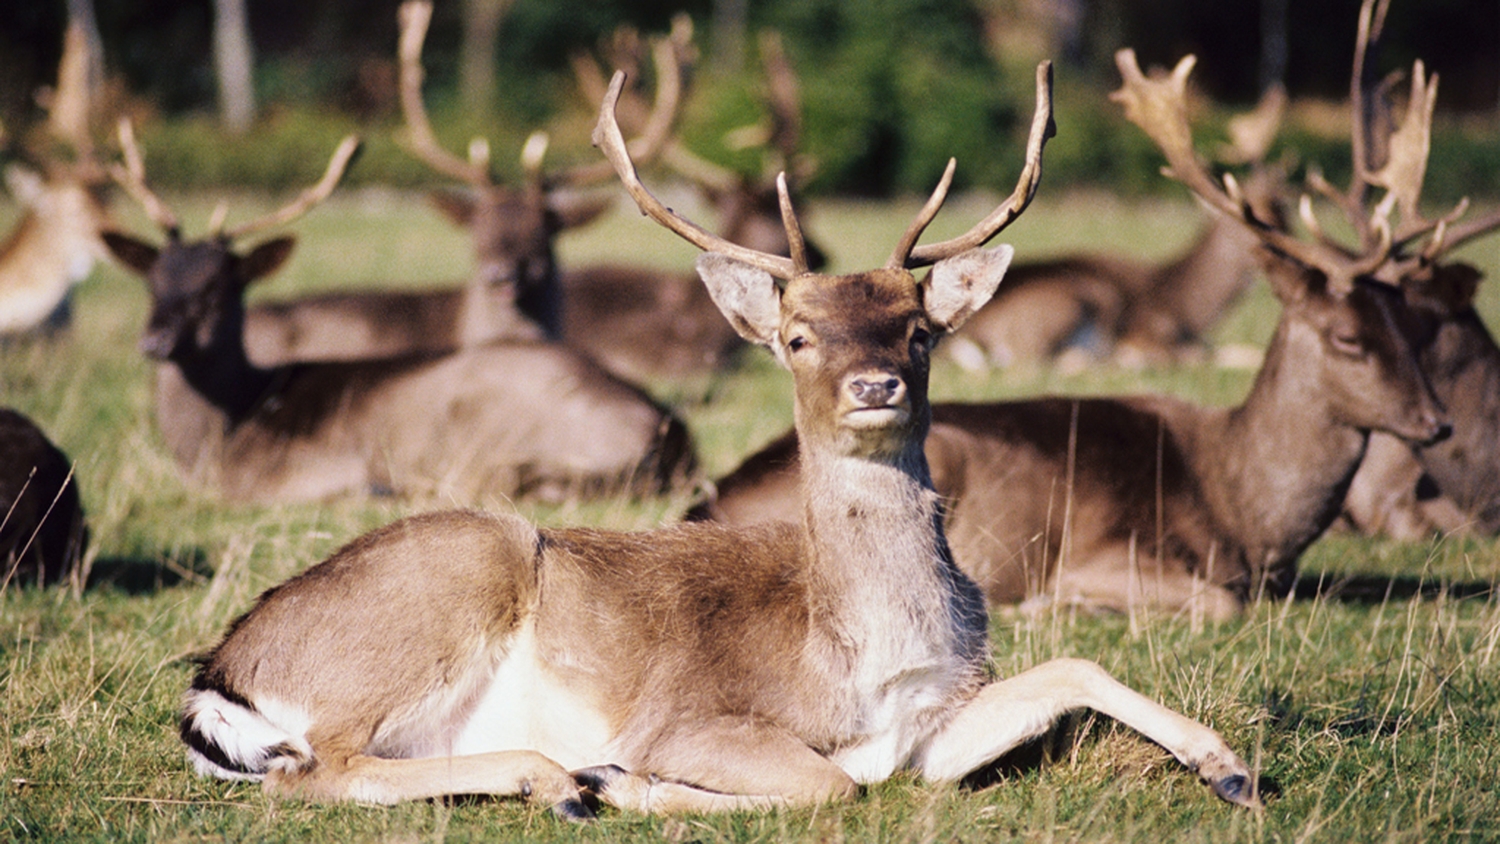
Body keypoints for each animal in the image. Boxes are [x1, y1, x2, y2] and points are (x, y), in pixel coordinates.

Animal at [100, 120, 694, 505]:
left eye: (217, 289)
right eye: (153, 283)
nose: (155, 340)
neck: (227, 431)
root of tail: (667, 424)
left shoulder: (294, 473)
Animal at [945, 85, 1287, 371]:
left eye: (1284, 211)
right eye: (1253, 217)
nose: (1289, 255)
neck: (1190, 313)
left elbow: (1243, 351)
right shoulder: (1147, 333)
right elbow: (1201, 356)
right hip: (1067, 306)